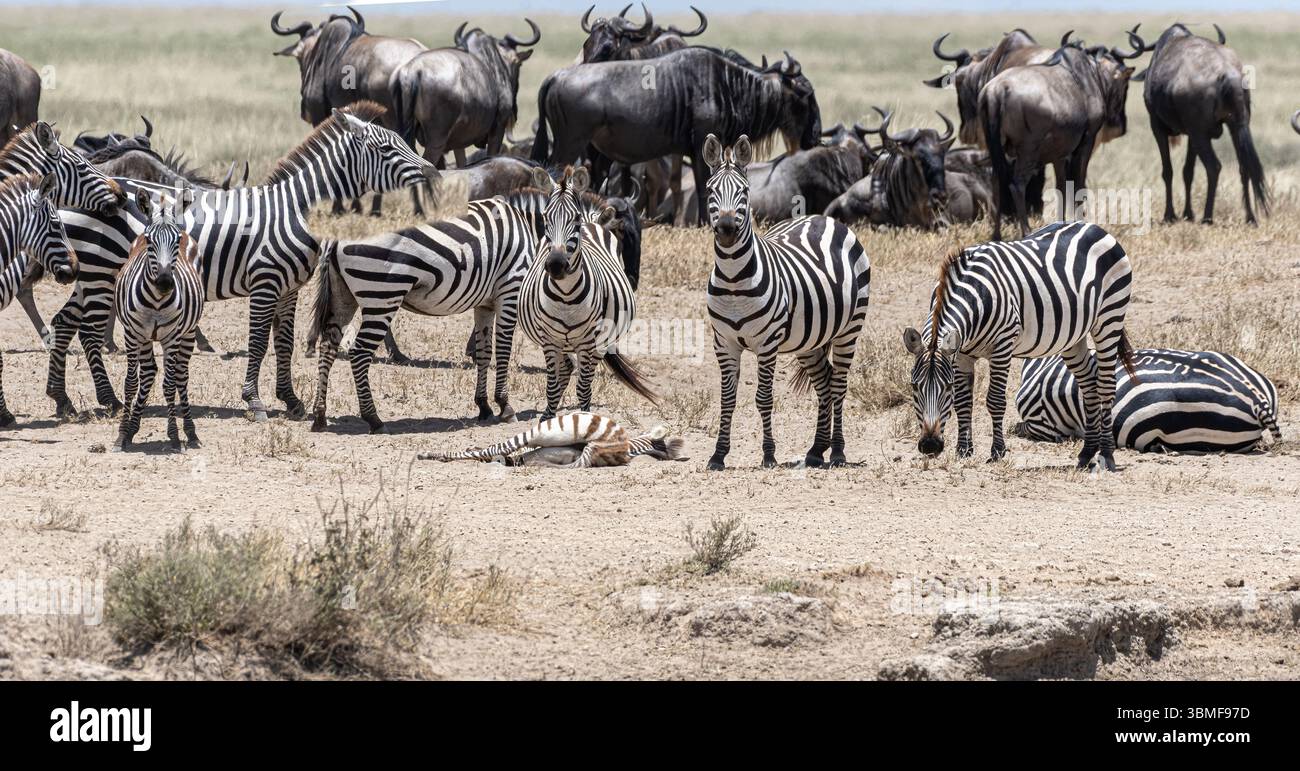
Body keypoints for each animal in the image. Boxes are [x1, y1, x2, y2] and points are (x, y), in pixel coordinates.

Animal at [43, 102, 435, 421]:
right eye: (386, 148)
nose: (432, 171)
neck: (295, 209)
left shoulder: (290, 287)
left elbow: (284, 343)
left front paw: (290, 400)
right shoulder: (266, 282)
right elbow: (259, 342)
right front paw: (255, 401)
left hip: (92, 272)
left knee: (63, 322)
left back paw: (62, 400)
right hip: (101, 270)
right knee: (88, 332)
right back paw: (109, 400)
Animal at [112, 189, 205, 452]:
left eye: (176, 241)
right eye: (149, 241)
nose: (164, 283)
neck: (156, 300)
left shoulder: (171, 337)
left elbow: (169, 384)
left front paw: (174, 436)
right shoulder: (132, 334)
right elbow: (131, 382)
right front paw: (122, 435)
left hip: (188, 332)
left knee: (181, 377)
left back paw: (191, 433)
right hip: (144, 338)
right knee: (148, 372)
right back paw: (132, 428)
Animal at [517, 165, 656, 420]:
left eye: (576, 219)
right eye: (545, 218)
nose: (556, 265)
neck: (566, 297)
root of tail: (595, 223)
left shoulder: (589, 343)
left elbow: (583, 389)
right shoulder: (549, 341)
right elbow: (552, 387)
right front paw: (547, 419)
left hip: (600, 343)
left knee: (583, 377)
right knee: (565, 371)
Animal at [701, 133, 872, 470]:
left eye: (744, 191)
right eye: (711, 190)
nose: (726, 231)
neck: (734, 281)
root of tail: (821, 217)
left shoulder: (767, 343)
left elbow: (763, 398)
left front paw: (769, 454)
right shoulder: (723, 342)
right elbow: (727, 399)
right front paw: (718, 455)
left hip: (850, 329)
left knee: (839, 384)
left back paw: (837, 452)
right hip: (810, 340)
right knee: (825, 383)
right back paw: (816, 451)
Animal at [903, 220, 1137, 470]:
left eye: (947, 388)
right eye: (914, 387)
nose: (930, 446)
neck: (974, 294)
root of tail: (1094, 226)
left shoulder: (1002, 345)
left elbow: (995, 400)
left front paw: (997, 451)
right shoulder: (962, 353)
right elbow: (964, 401)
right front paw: (963, 450)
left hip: (1109, 317)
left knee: (1105, 385)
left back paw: (1107, 454)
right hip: (1074, 337)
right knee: (1089, 383)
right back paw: (1086, 453)